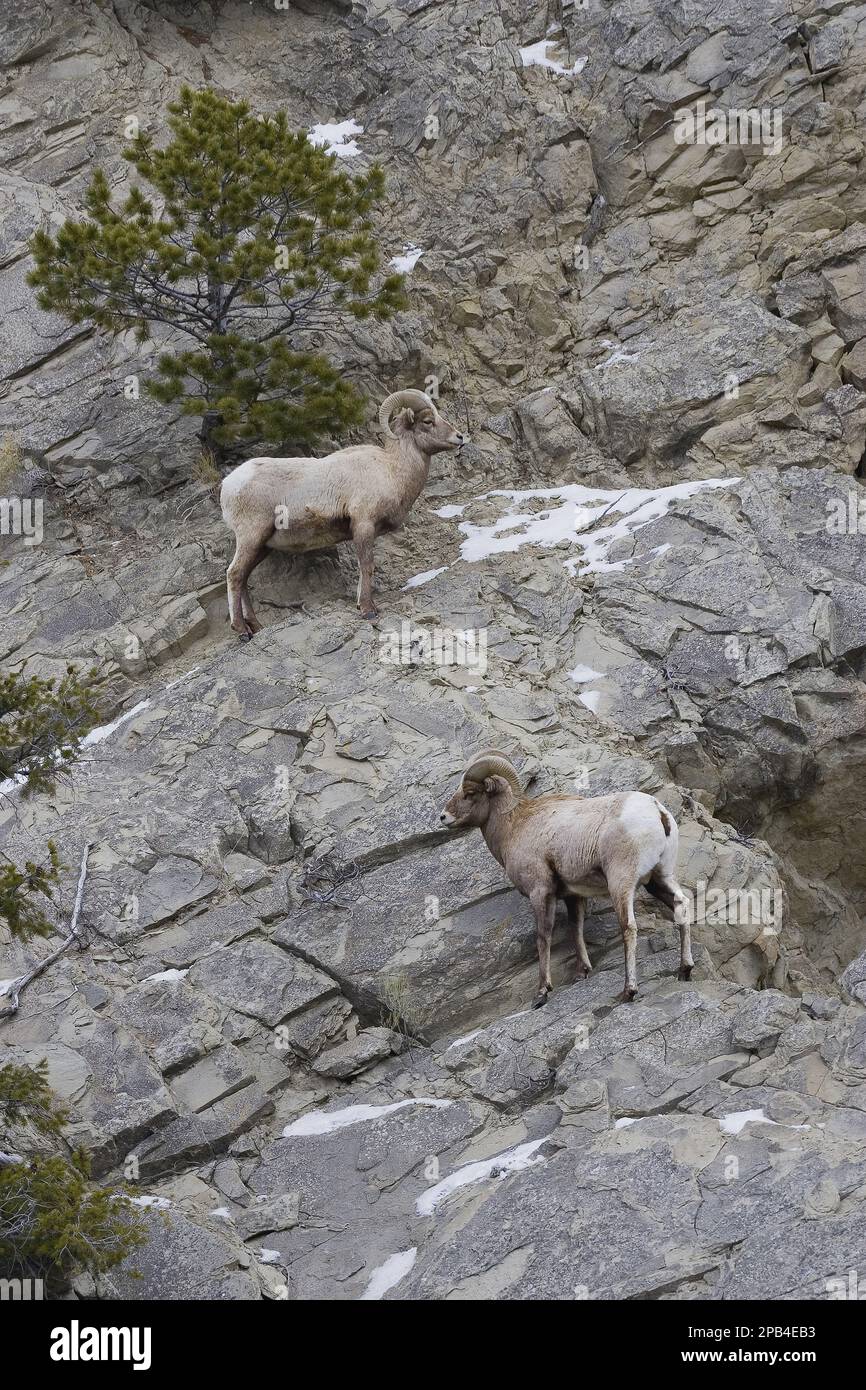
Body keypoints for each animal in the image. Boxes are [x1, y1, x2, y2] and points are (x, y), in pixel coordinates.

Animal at [219, 389, 465, 637]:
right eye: (428, 421)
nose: (460, 438)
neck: (391, 470)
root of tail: (228, 485)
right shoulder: (363, 524)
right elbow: (366, 565)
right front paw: (367, 610)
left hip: (262, 546)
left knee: (243, 578)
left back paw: (256, 627)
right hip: (252, 536)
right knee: (235, 574)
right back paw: (241, 630)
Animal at [439, 750, 691, 1008]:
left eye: (470, 793)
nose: (443, 817)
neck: (514, 827)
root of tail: (657, 811)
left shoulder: (540, 892)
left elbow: (543, 936)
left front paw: (542, 993)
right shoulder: (574, 896)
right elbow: (576, 929)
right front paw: (582, 973)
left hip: (621, 883)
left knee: (628, 927)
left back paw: (628, 991)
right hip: (659, 878)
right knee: (681, 905)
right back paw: (685, 970)